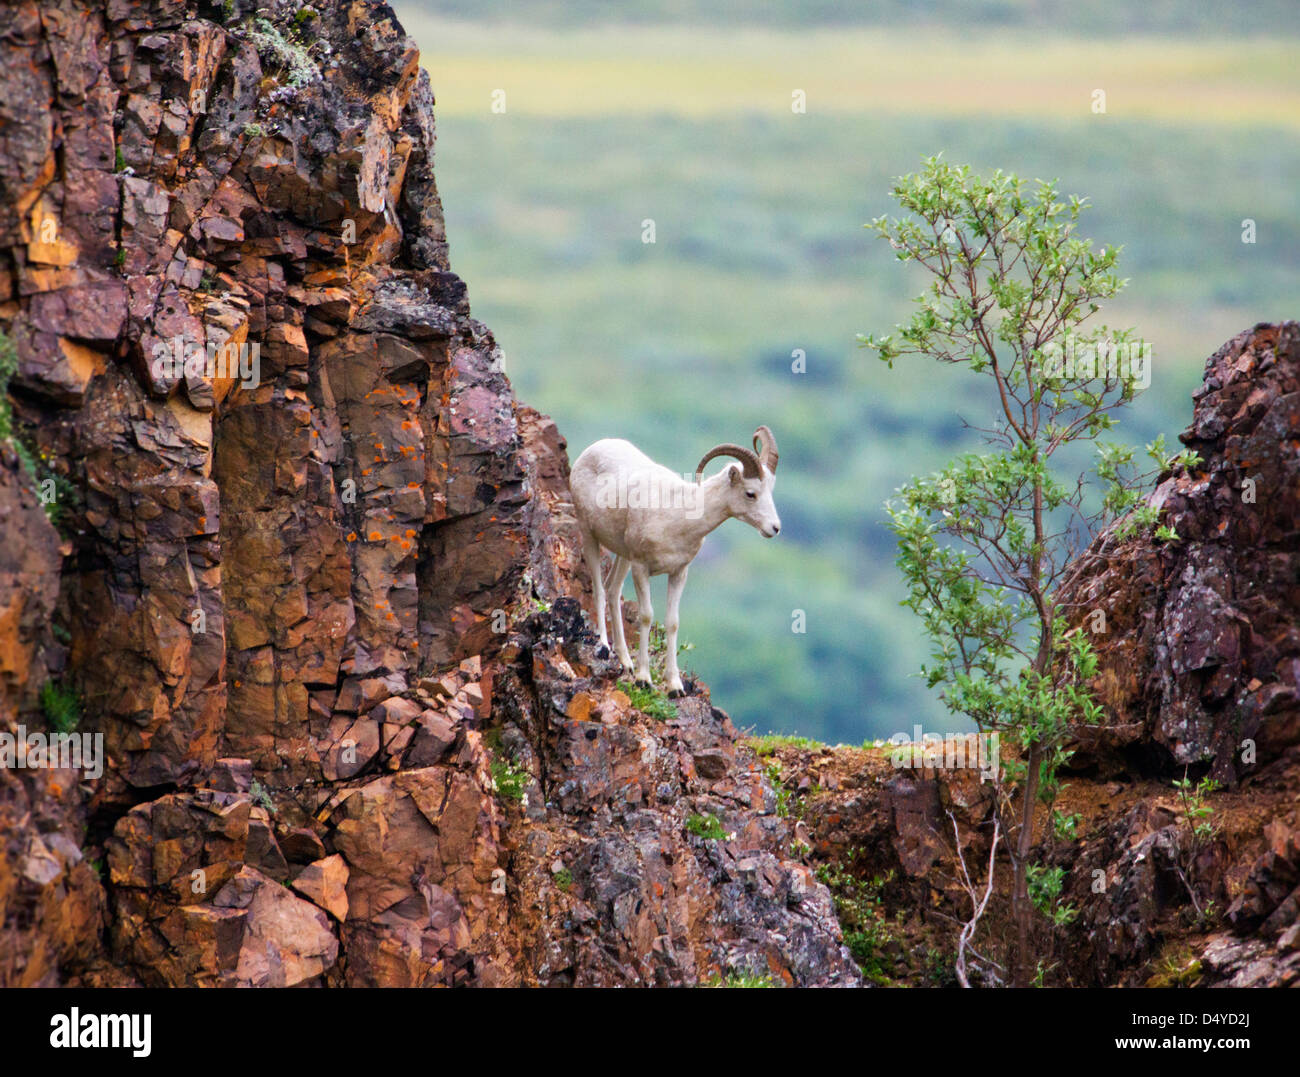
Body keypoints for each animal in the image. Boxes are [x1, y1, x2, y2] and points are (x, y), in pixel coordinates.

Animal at [570, 426, 780, 697]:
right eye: (750, 493)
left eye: (770, 491)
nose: (774, 528)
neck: (678, 515)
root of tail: (592, 449)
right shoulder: (642, 568)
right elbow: (646, 616)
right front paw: (644, 680)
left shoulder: (679, 573)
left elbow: (672, 623)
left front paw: (675, 687)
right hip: (590, 536)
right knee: (599, 589)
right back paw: (604, 648)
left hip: (623, 555)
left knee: (613, 589)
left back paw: (625, 661)